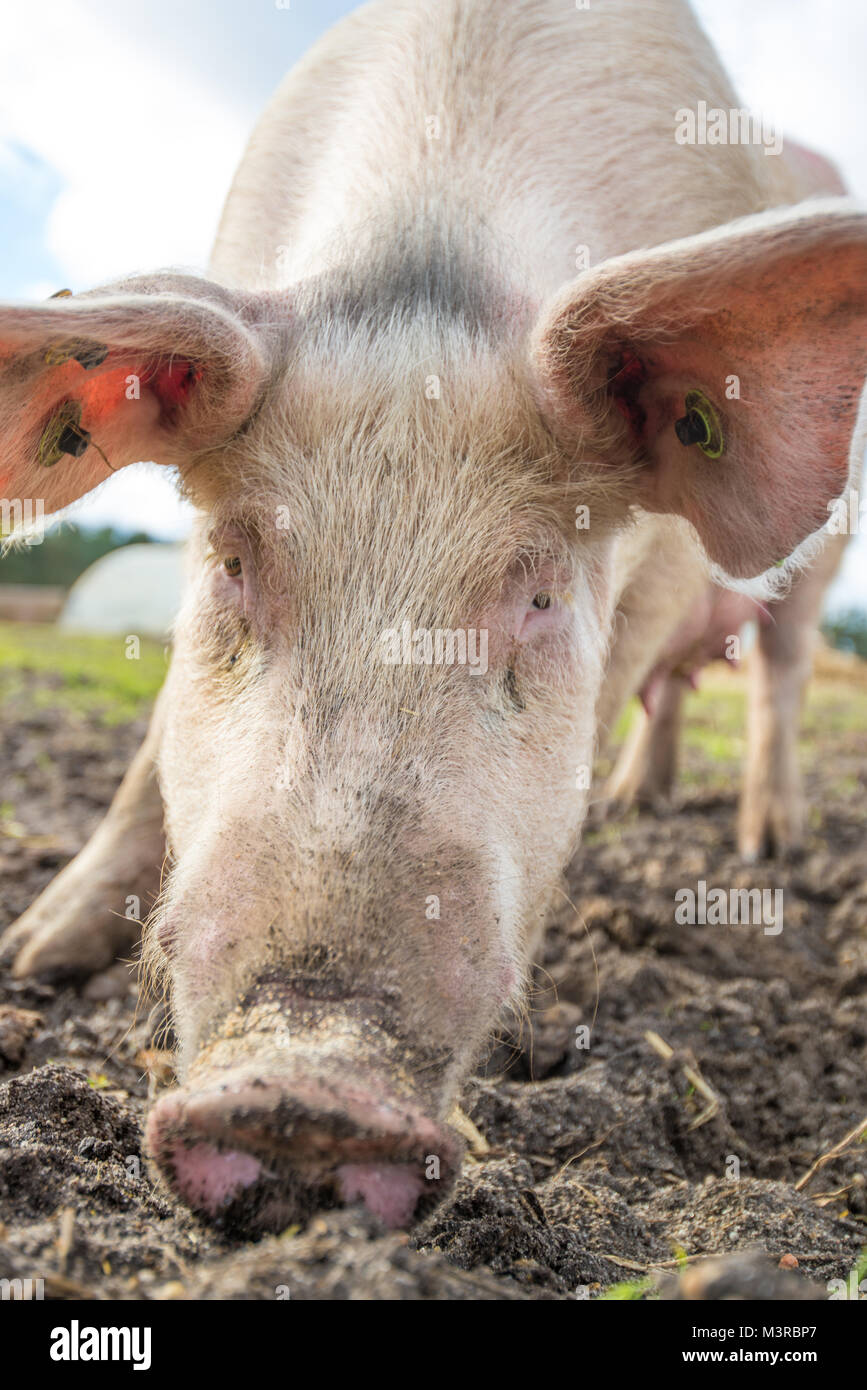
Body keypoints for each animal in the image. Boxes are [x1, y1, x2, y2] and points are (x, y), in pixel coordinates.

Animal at [1, 0, 866, 1234]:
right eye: (230, 562)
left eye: (541, 593)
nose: (303, 1084)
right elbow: (153, 737)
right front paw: (30, 957)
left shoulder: (649, 574)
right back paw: (639, 804)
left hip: (817, 572)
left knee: (773, 683)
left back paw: (766, 842)